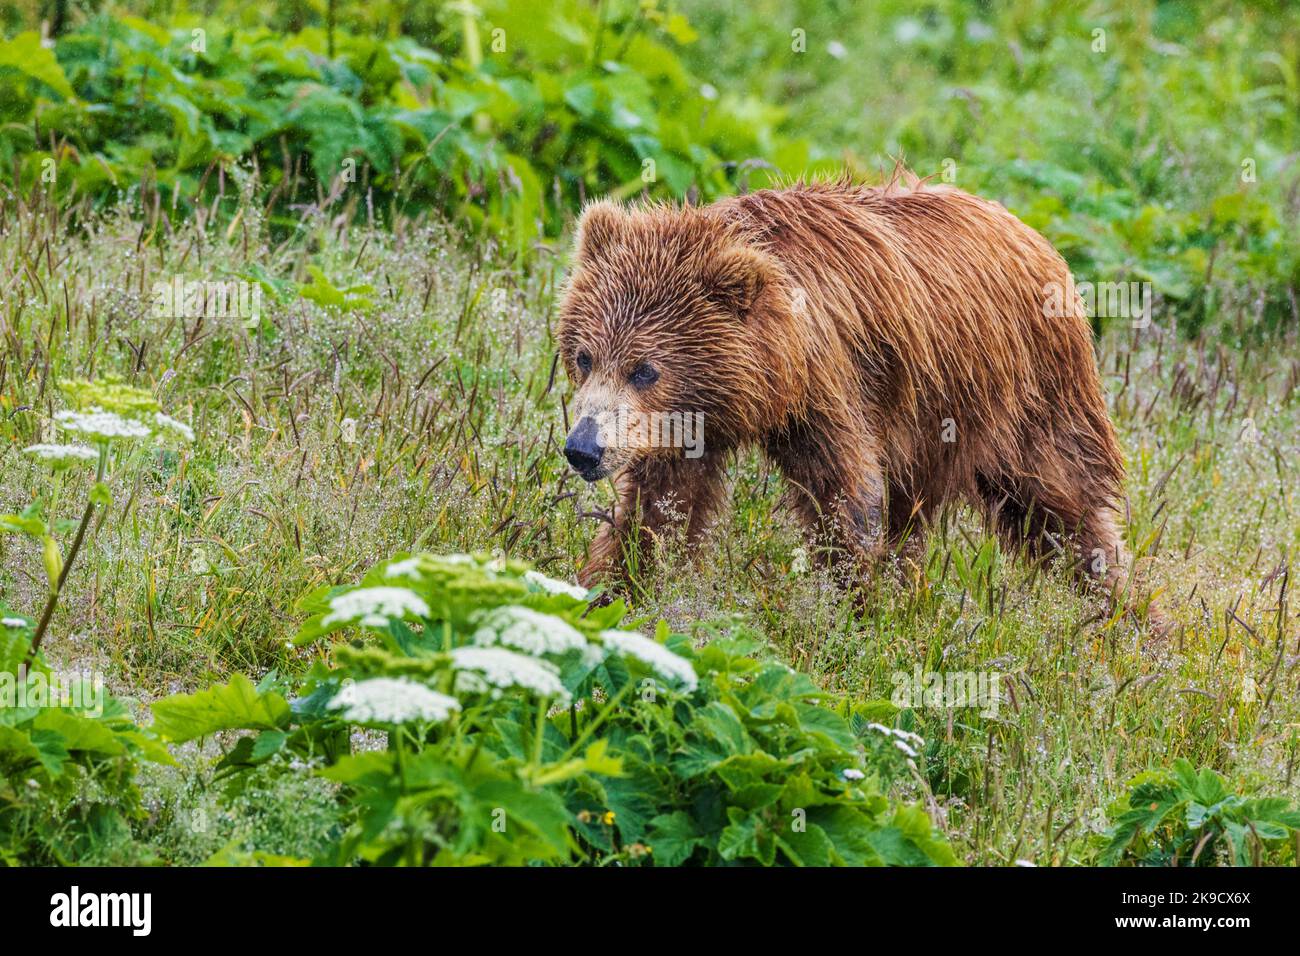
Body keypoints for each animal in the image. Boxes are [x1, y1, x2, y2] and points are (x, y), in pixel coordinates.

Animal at [556, 172, 1139, 618]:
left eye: (645, 370)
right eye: (585, 356)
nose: (584, 447)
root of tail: (1031, 232)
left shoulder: (830, 385)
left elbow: (843, 494)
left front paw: (856, 606)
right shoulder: (684, 423)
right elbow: (659, 507)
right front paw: (612, 591)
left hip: (1028, 394)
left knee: (1064, 508)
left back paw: (1127, 619)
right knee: (916, 518)